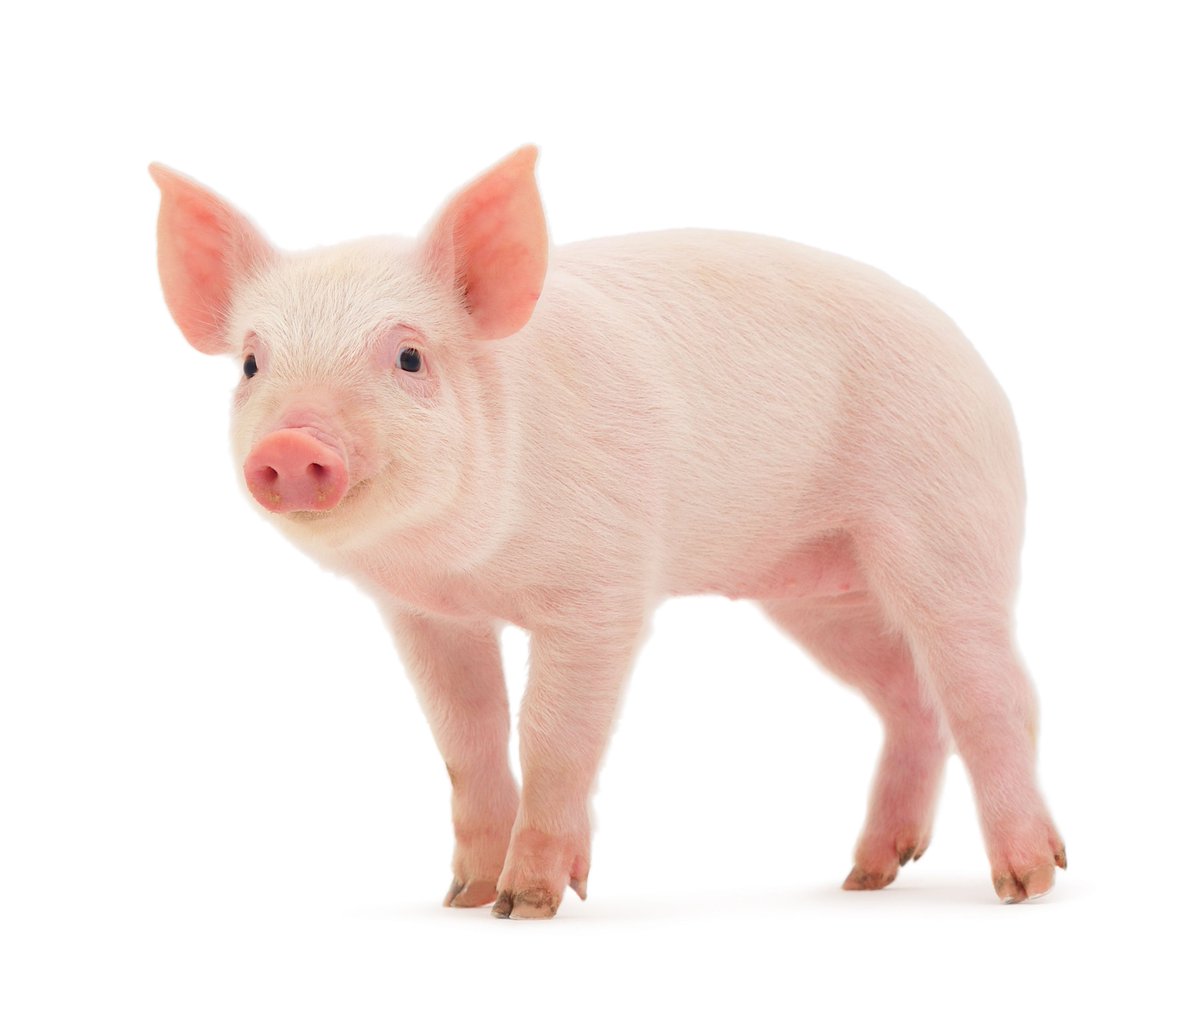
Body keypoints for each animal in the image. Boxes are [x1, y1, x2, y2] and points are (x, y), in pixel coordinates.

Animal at [150, 147, 1065, 918]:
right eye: (251, 364)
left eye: (409, 357)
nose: (288, 444)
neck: (468, 566)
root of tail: (976, 363)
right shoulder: (426, 614)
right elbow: (465, 737)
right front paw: (463, 897)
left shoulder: (603, 588)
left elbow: (552, 732)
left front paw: (526, 904)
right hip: (819, 589)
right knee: (912, 698)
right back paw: (866, 875)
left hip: (948, 521)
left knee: (995, 693)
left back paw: (1026, 880)